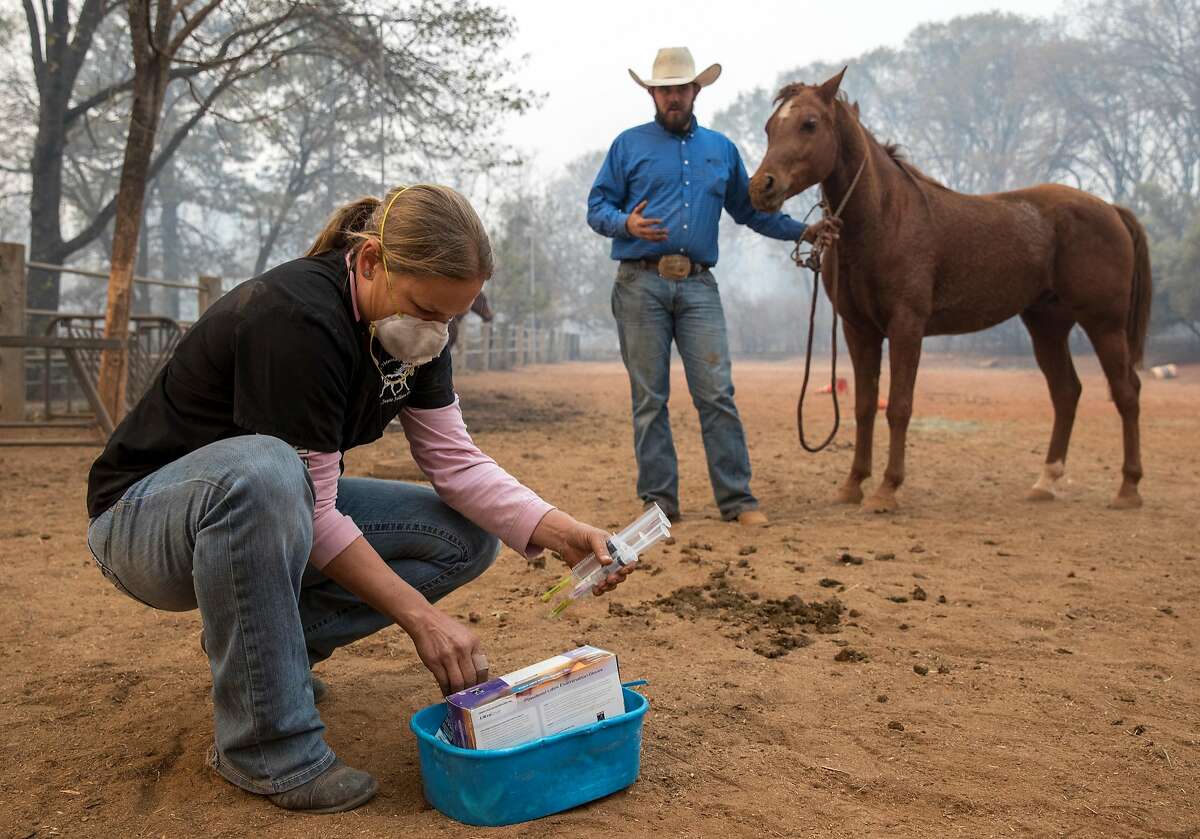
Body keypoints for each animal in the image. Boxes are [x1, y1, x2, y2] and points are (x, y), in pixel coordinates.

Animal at [748, 68, 1151, 512]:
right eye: (770, 127)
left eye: (809, 124)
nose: (761, 187)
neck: (884, 218)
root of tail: (1111, 209)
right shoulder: (859, 330)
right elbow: (865, 406)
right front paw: (852, 485)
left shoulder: (906, 326)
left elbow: (899, 407)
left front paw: (887, 490)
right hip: (1047, 324)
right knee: (1066, 393)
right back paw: (1045, 482)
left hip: (1104, 324)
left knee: (1126, 392)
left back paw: (1128, 488)